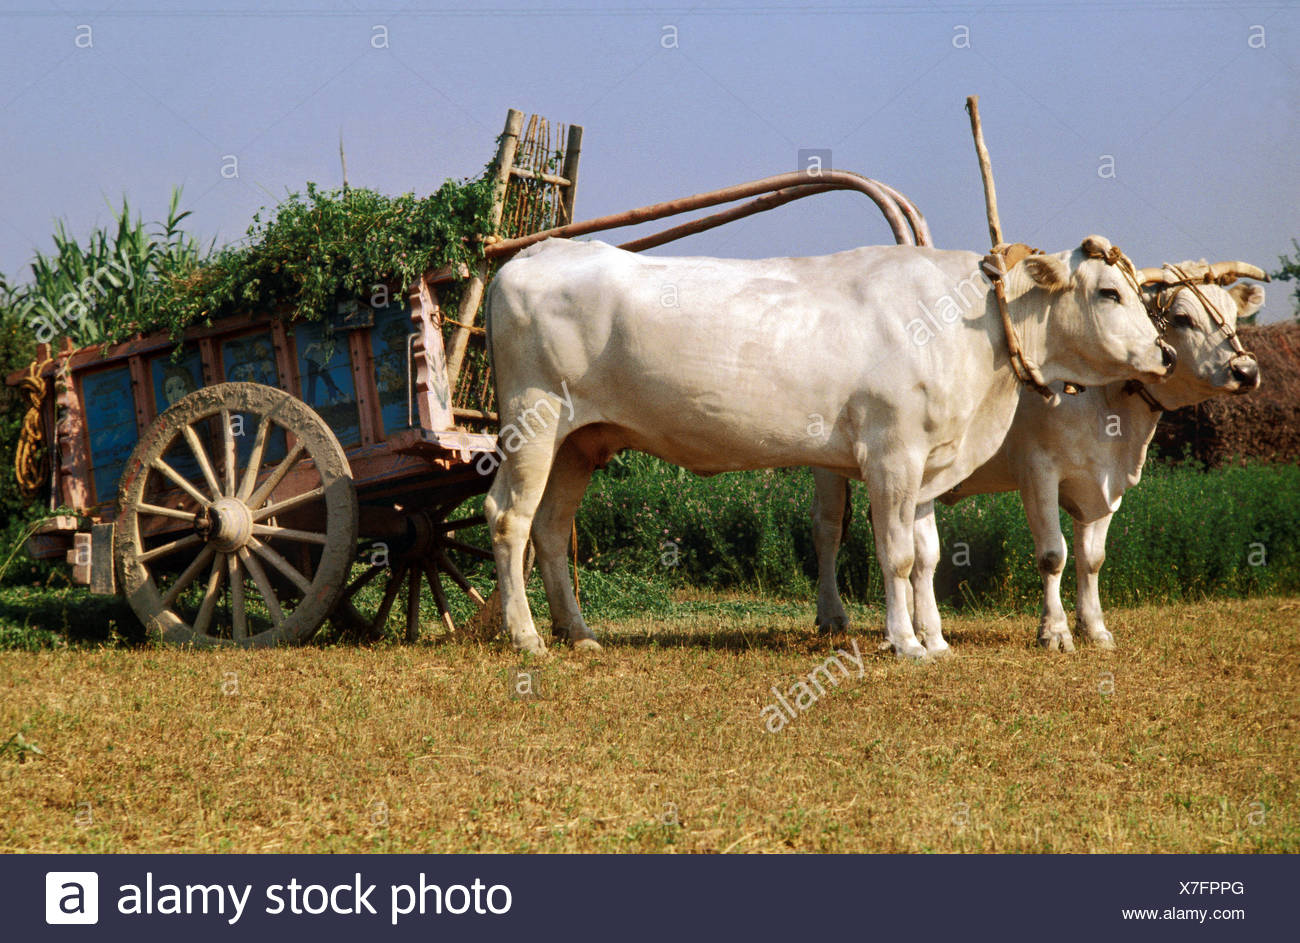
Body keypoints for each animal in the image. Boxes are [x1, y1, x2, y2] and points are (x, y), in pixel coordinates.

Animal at [482, 235, 1175, 657]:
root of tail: (532, 253)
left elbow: (926, 555)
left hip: (579, 441)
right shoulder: (892, 454)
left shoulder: (929, 462)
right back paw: (525, 637)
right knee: (509, 517)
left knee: (550, 527)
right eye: (1109, 292)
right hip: (533, 420)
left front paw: (936, 639)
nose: (1165, 353)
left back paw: (577, 632)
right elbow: (896, 555)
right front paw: (905, 643)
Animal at [810, 261, 1267, 654]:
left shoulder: (1106, 483)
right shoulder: (1038, 471)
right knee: (828, 530)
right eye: (1184, 318)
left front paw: (1094, 627)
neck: (1105, 404)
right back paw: (833, 616)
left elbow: (1092, 558)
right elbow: (1053, 554)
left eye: (1233, 314)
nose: (1247, 371)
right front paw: (1055, 631)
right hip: (833, 464)